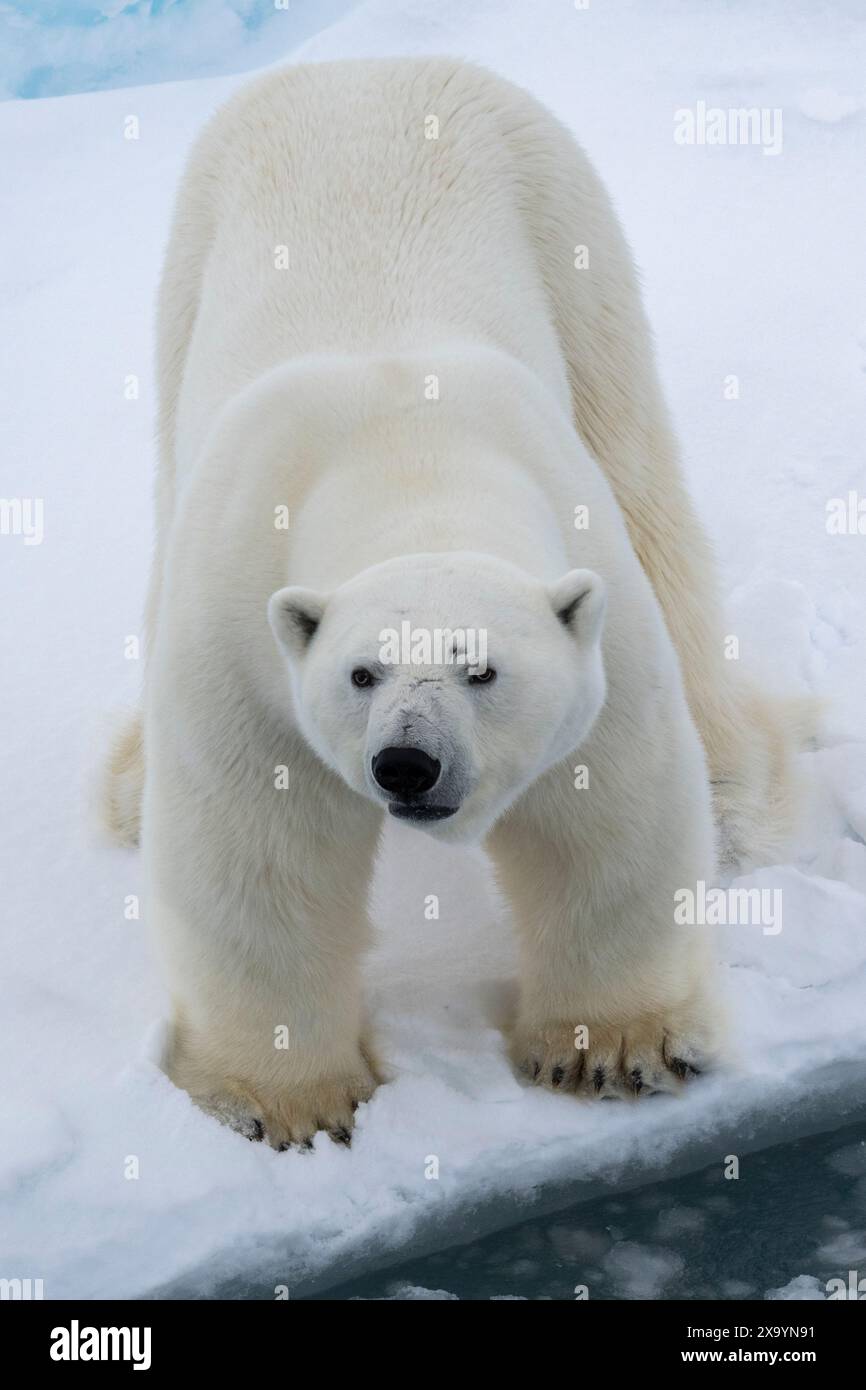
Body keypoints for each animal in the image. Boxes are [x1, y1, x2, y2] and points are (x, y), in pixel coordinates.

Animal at [105, 57, 805, 1147]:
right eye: (361, 673)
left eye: (483, 670)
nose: (408, 762)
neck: (403, 460)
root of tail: (360, 65)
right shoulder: (238, 638)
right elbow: (254, 853)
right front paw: (287, 1103)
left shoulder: (591, 597)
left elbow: (612, 805)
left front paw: (612, 1048)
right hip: (191, 269)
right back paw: (130, 790)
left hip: (565, 227)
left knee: (647, 482)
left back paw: (734, 787)